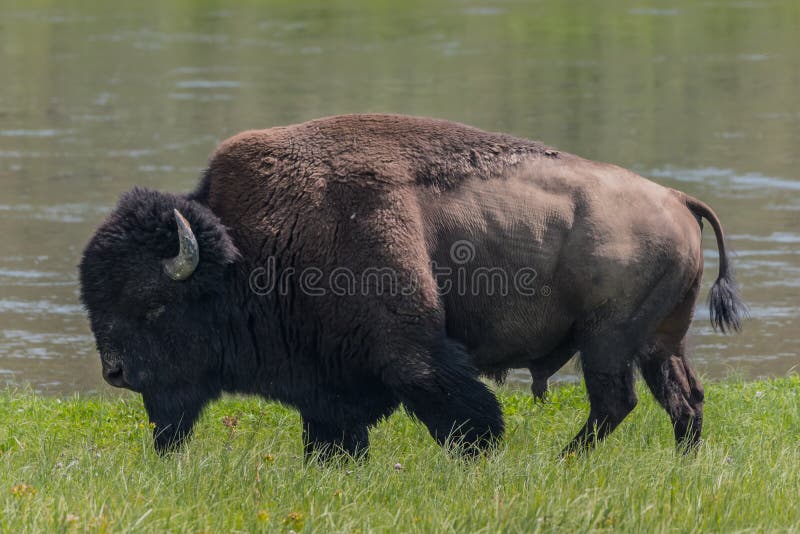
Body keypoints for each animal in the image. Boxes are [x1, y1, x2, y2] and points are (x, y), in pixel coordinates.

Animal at [79, 114, 744, 459]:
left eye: (154, 305)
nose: (114, 371)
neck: (249, 252)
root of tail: (676, 198)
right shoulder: (328, 382)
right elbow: (331, 431)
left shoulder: (411, 354)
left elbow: (460, 410)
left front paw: (481, 456)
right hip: (659, 343)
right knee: (682, 398)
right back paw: (679, 461)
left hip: (606, 342)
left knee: (616, 401)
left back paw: (566, 461)